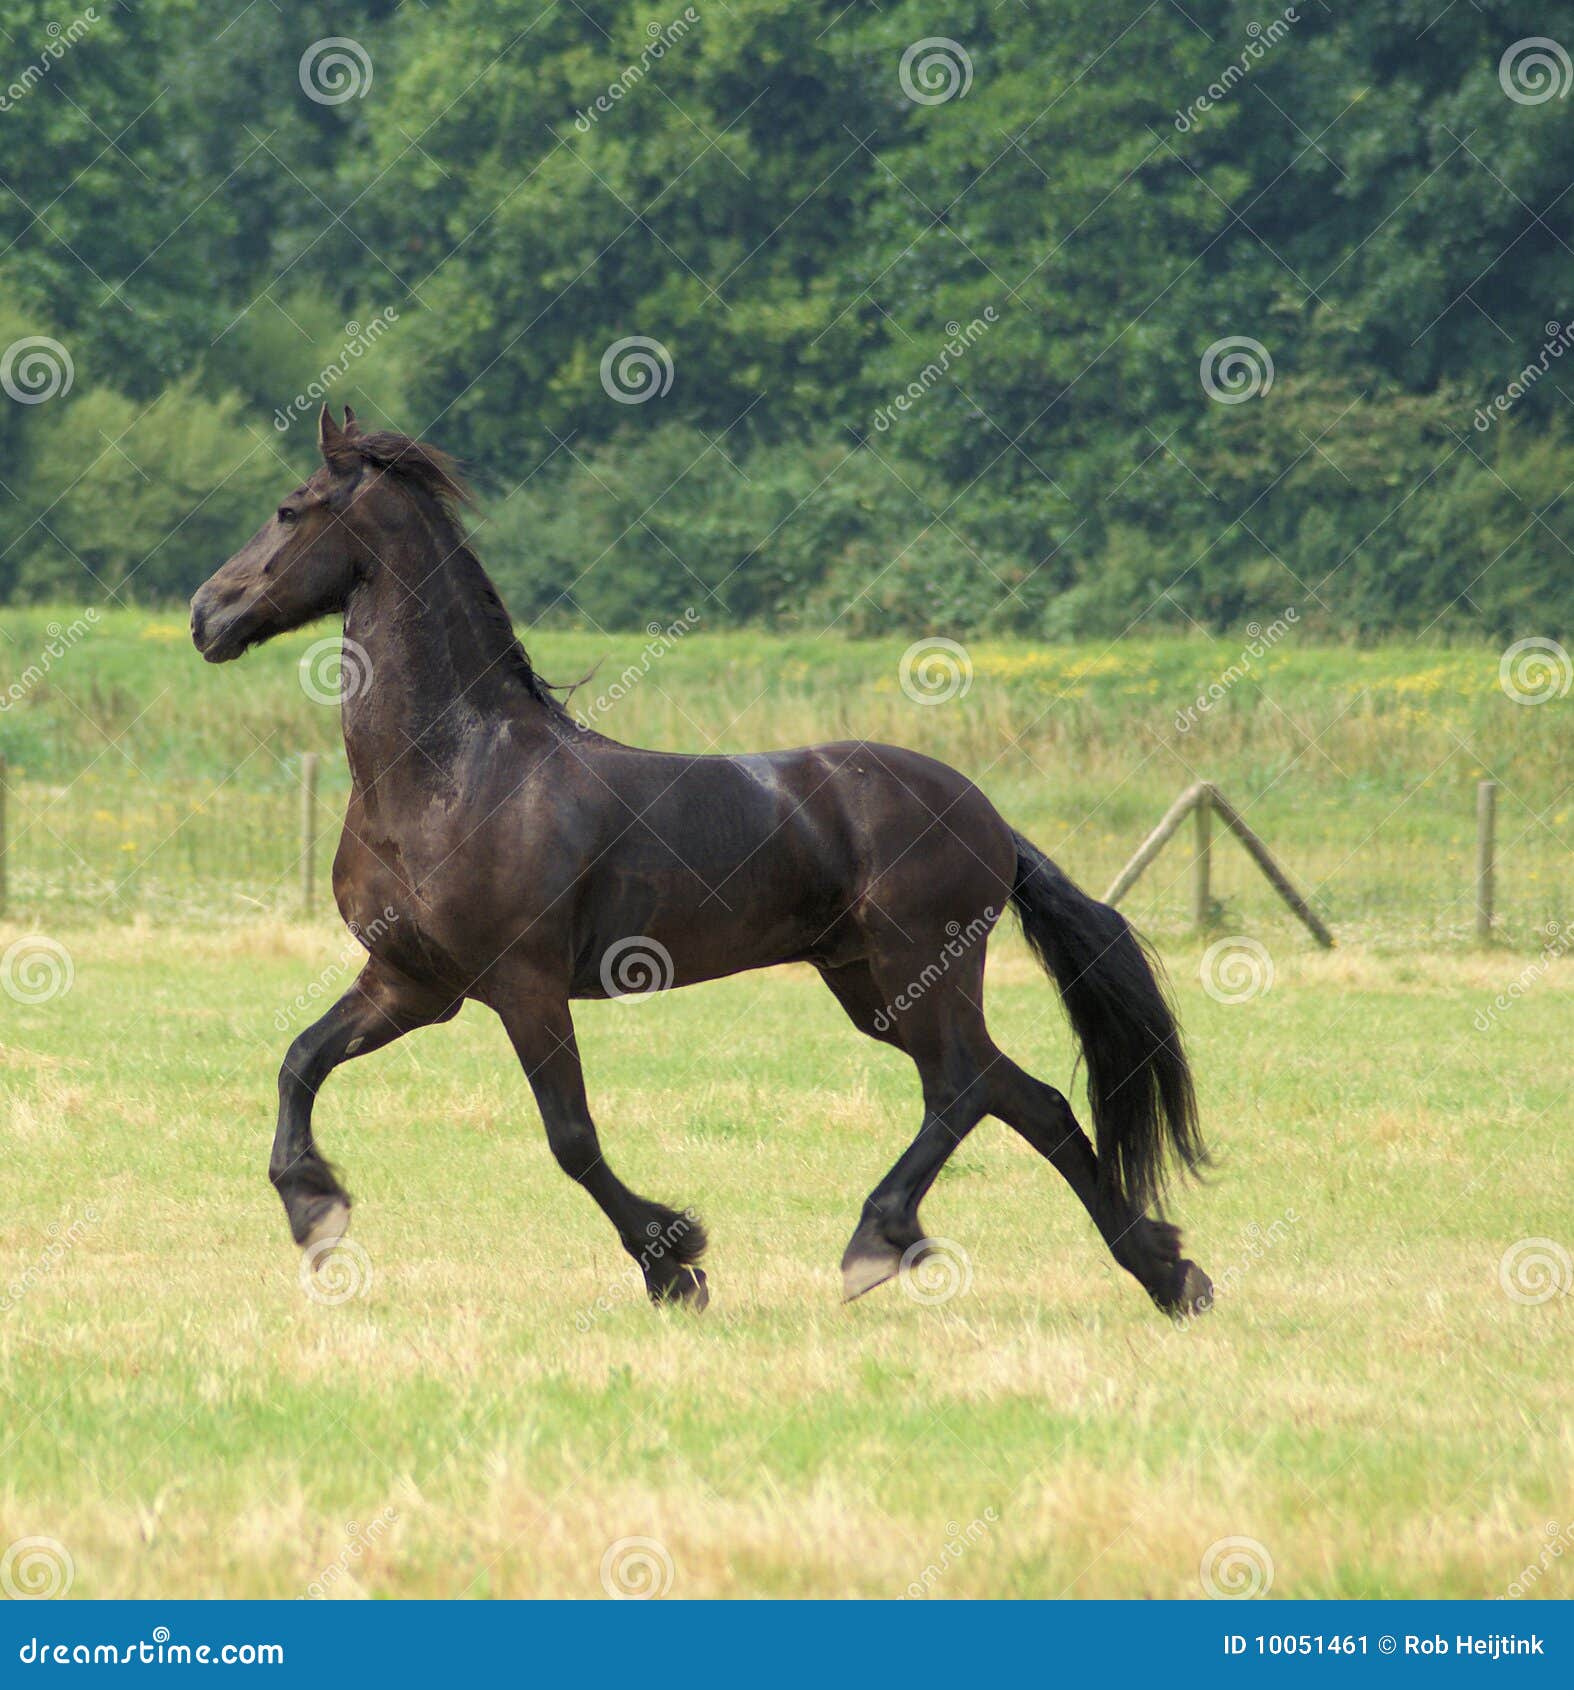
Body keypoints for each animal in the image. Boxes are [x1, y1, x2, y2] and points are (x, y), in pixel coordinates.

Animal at [190, 406, 1212, 1319]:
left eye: (289, 509)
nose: (206, 615)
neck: (455, 770)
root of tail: (991, 820)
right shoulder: (411, 982)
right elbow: (300, 1061)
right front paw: (315, 1210)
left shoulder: (523, 985)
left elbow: (571, 1138)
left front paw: (674, 1265)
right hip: (874, 987)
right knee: (1029, 1099)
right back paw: (1169, 1275)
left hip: (919, 971)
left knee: (963, 1091)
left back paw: (876, 1243)